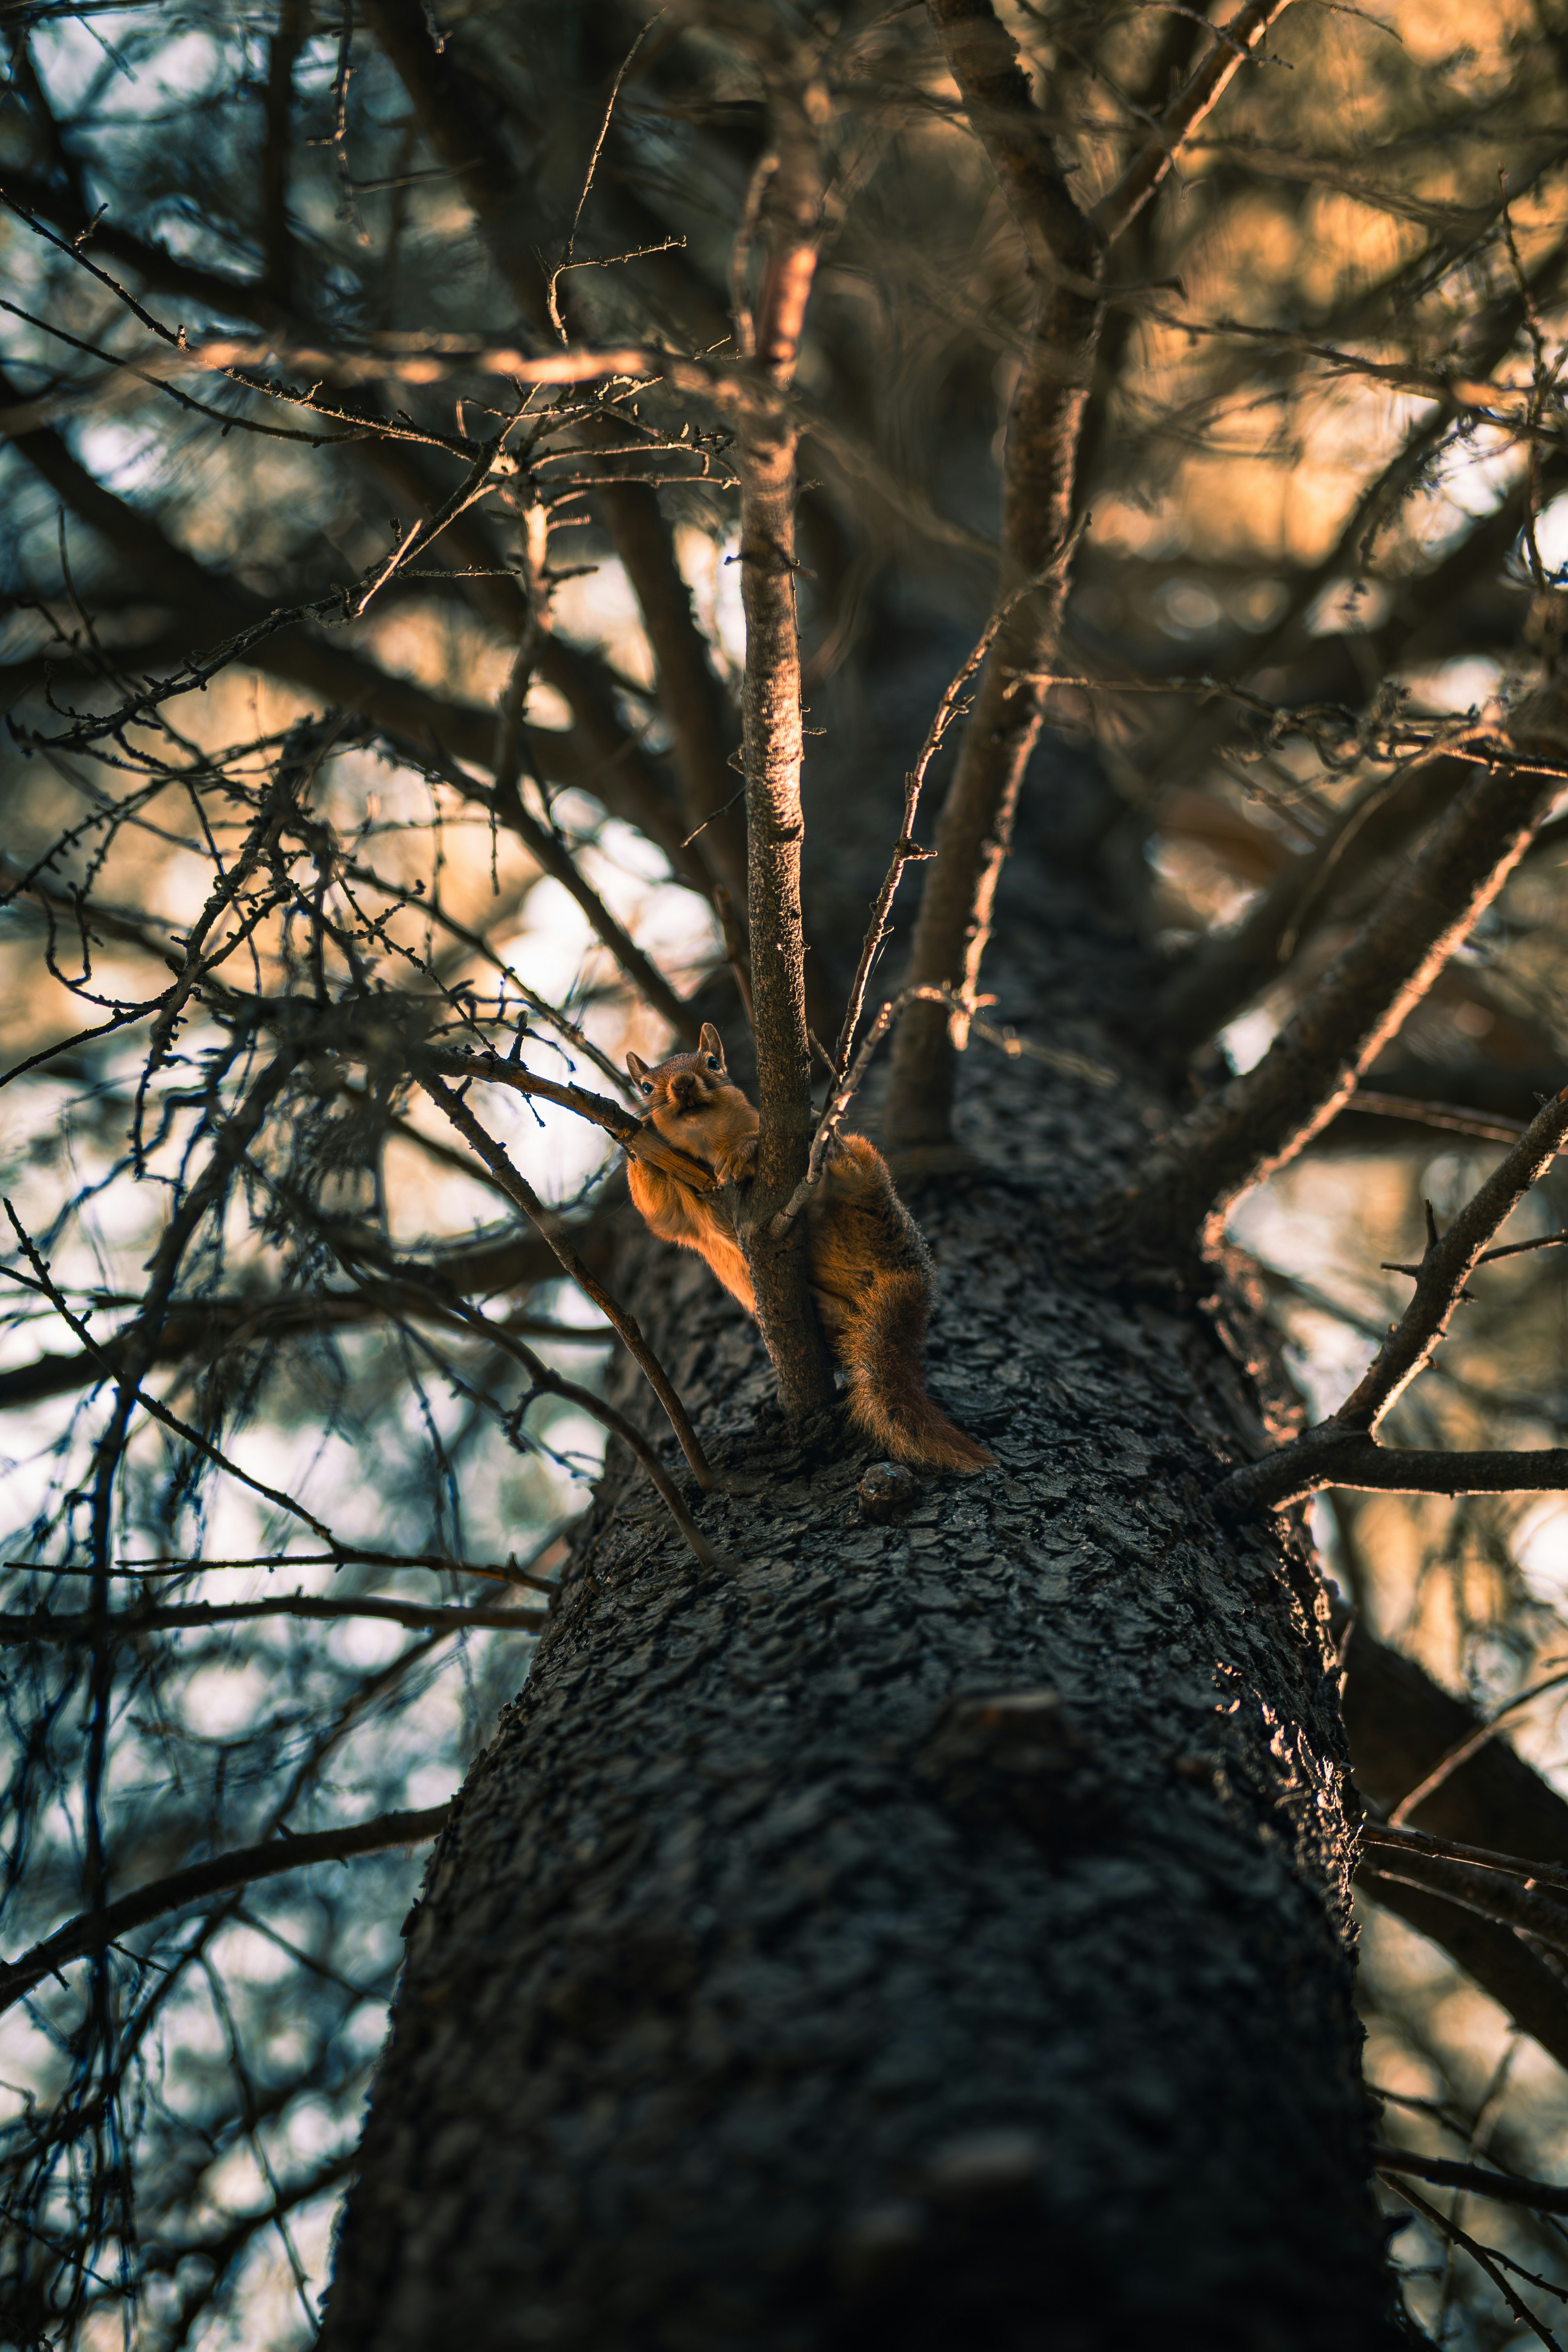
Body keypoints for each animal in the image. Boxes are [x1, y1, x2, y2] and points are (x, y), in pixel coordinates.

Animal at [624, 1023, 994, 1475]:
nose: (681, 1084)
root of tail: (909, 1273)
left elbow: (750, 1143)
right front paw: (637, 1143)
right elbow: (659, 1213)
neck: (708, 1145)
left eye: (712, 1063)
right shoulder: (684, 1212)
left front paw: (746, 1151)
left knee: (855, 1171)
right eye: (646, 1087)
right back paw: (827, 1308)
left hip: (870, 1197)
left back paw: (832, 1149)